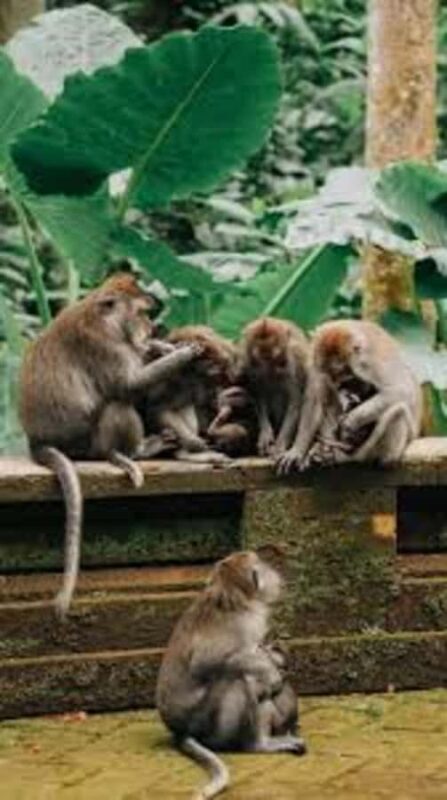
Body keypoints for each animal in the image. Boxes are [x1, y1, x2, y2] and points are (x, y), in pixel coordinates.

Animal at [19, 273, 201, 617]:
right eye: (142, 313)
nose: (151, 328)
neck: (106, 318)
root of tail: (37, 441)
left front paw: (159, 347)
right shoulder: (107, 346)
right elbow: (129, 384)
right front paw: (181, 354)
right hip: (89, 444)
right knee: (117, 403)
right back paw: (135, 451)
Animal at [156, 550, 305, 800]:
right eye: (261, 565)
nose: (273, 573)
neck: (236, 599)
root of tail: (180, 730)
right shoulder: (246, 624)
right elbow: (207, 662)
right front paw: (271, 673)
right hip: (209, 724)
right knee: (238, 679)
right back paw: (259, 744)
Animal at [237, 318, 310, 458]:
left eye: (273, 358)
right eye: (263, 358)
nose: (271, 372)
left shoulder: (292, 365)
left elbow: (294, 403)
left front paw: (279, 445)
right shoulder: (250, 366)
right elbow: (259, 396)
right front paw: (265, 434)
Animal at [277, 319, 422, 474]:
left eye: (339, 372)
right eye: (327, 371)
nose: (336, 383)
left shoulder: (369, 362)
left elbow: (400, 390)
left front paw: (350, 421)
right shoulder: (315, 361)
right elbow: (315, 400)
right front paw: (297, 450)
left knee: (397, 412)